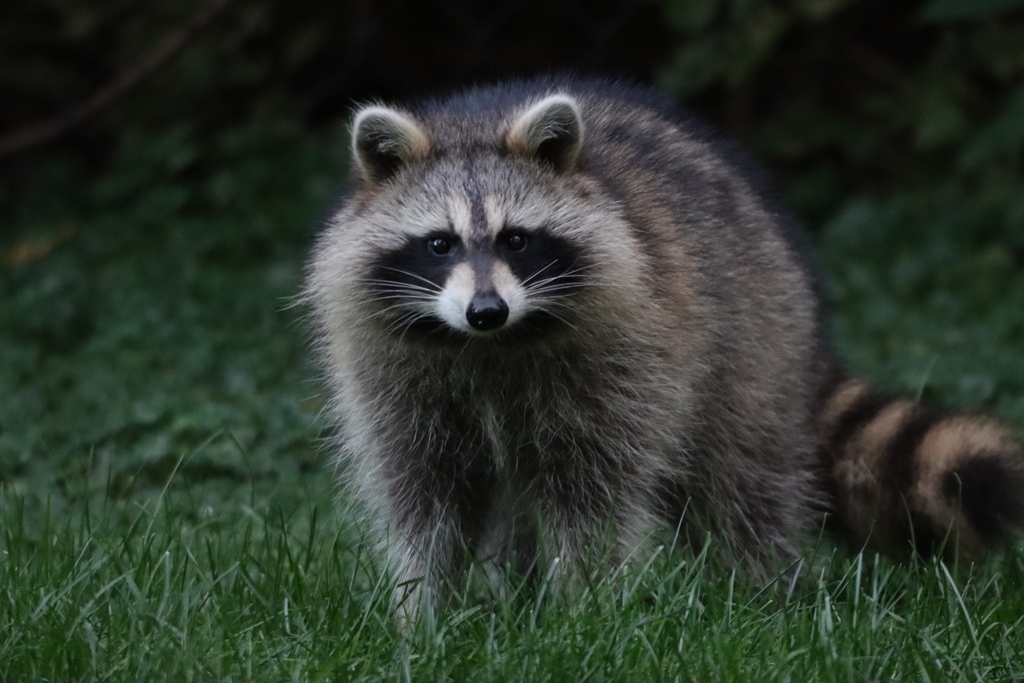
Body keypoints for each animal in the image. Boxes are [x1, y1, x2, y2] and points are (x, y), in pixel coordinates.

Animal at [305, 77, 1024, 612]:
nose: (487, 310)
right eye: (439, 244)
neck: (491, 344)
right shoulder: (394, 375)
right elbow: (422, 492)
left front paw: (581, 606)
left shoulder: (620, 351)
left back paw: (762, 586)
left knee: (745, 474)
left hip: (750, 340)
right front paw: (425, 608)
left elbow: (593, 490)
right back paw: (516, 592)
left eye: (516, 239)